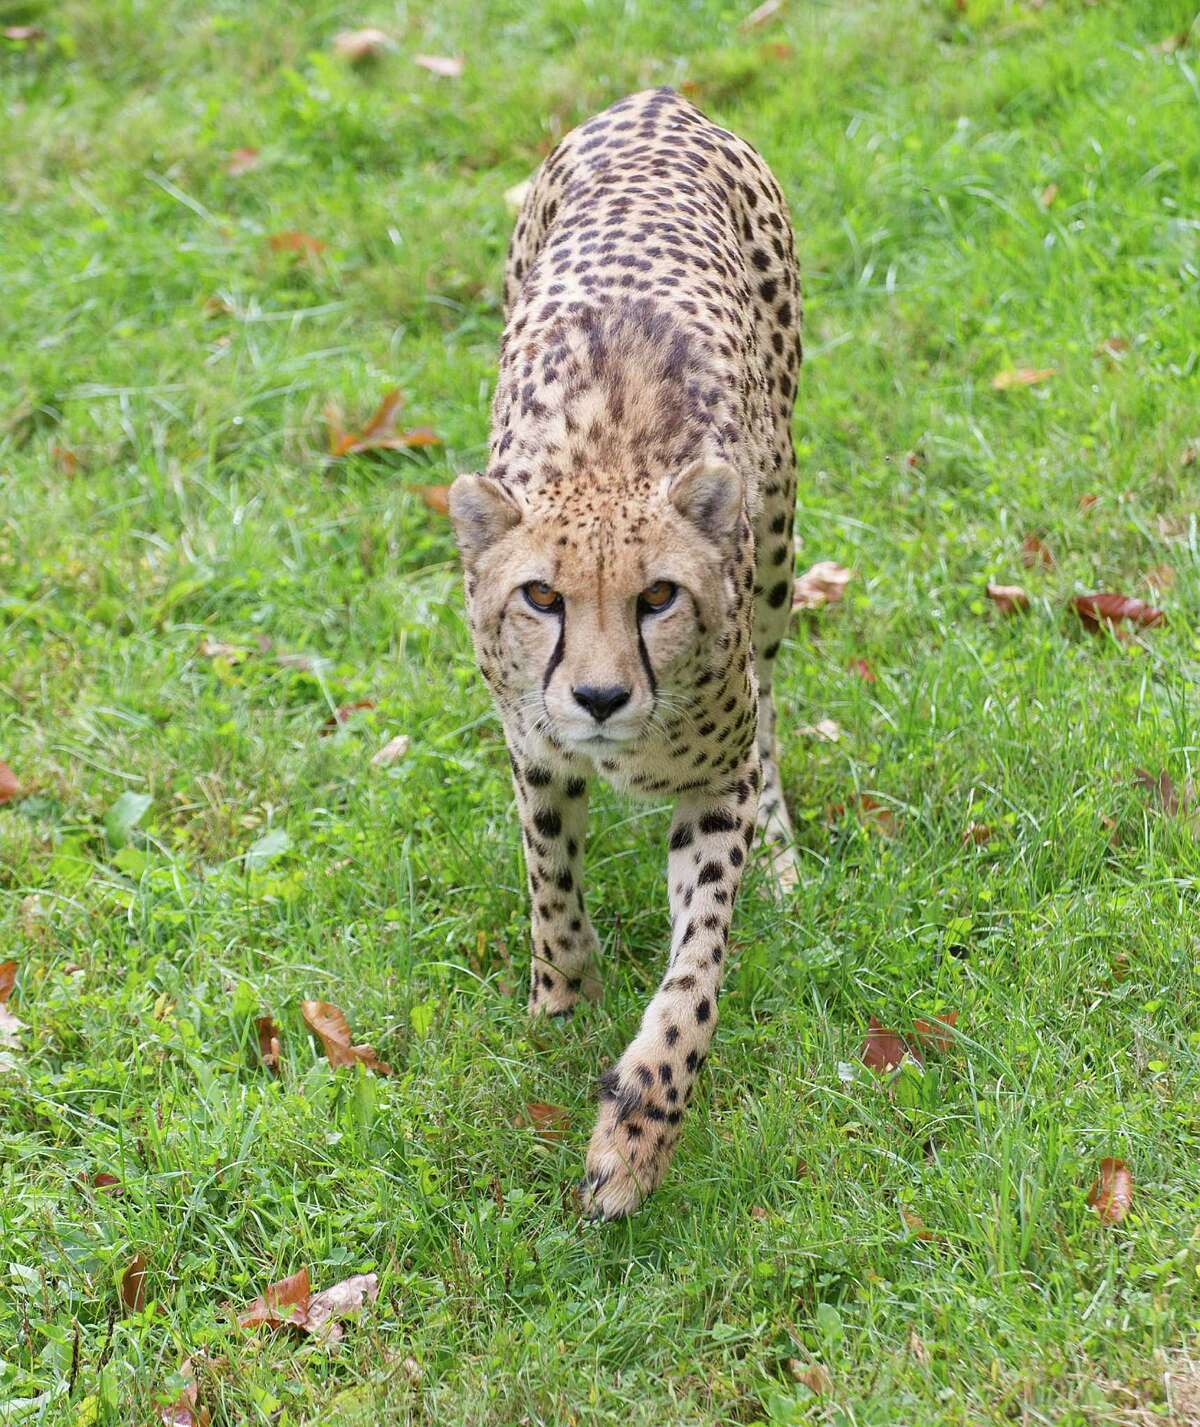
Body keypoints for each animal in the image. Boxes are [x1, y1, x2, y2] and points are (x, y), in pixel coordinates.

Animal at [448, 86, 802, 1220]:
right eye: (541, 597)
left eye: (657, 598)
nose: (601, 697)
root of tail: (656, 101)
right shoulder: (534, 748)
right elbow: (549, 880)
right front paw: (563, 1000)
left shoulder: (714, 788)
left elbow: (694, 983)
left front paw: (635, 1133)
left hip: (778, 545)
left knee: (771, 696)